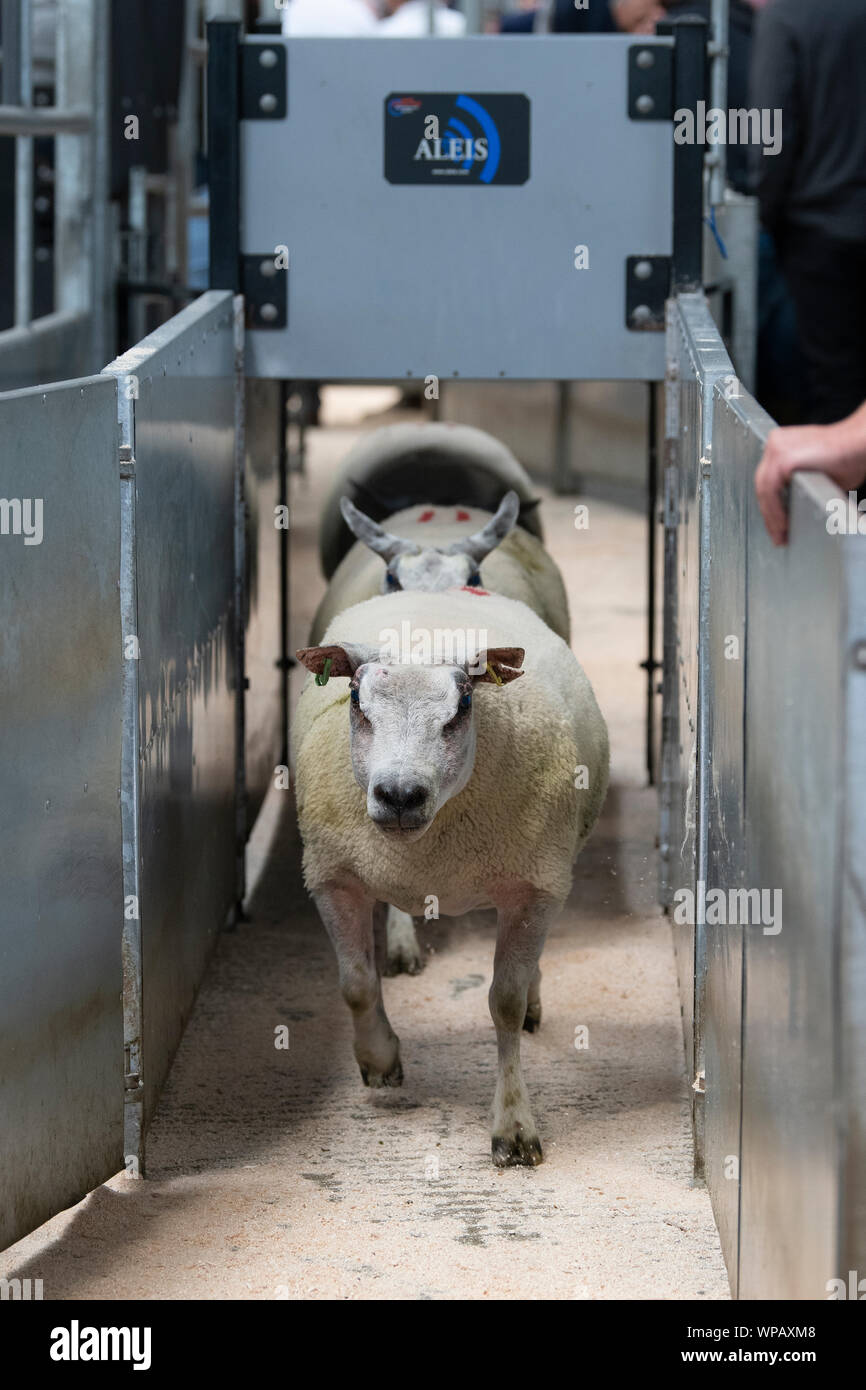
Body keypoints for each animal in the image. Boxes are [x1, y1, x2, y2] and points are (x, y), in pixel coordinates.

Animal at [293, 587, 609, 1166]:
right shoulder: (333, 876)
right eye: (355, 700)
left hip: (548, 874)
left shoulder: (534, 887)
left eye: (463, 706)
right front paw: (379, 1060)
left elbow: (504, 1005)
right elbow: (355, 984)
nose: (399, 795)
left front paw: (514, 1126)